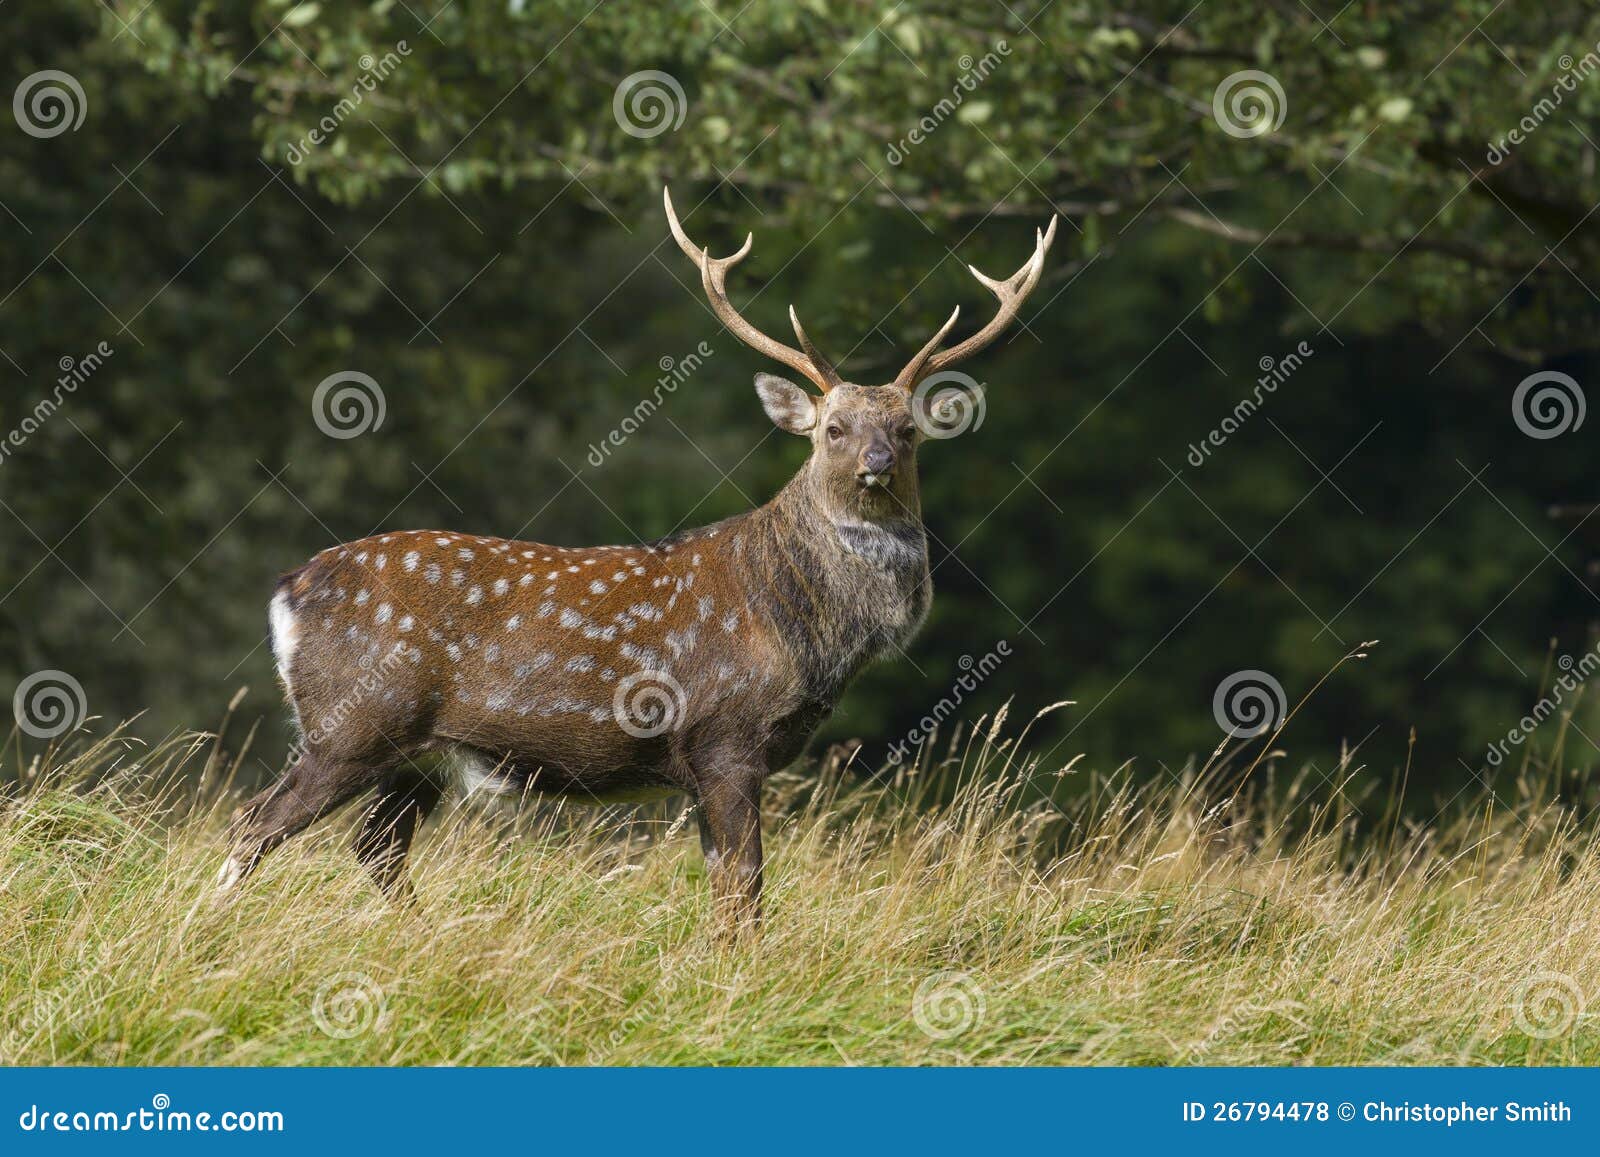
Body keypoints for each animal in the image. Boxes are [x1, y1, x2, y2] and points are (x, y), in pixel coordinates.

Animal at [217, 187, 1056, 935]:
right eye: (833, 429)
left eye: (908, 431)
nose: (877, 464)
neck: (804, 626)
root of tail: (287, 590)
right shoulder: (726, 737)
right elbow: (746, 894)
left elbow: (726, 891)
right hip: (352, 721)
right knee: (251, 825)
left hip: (415, 755)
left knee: (375, 847)